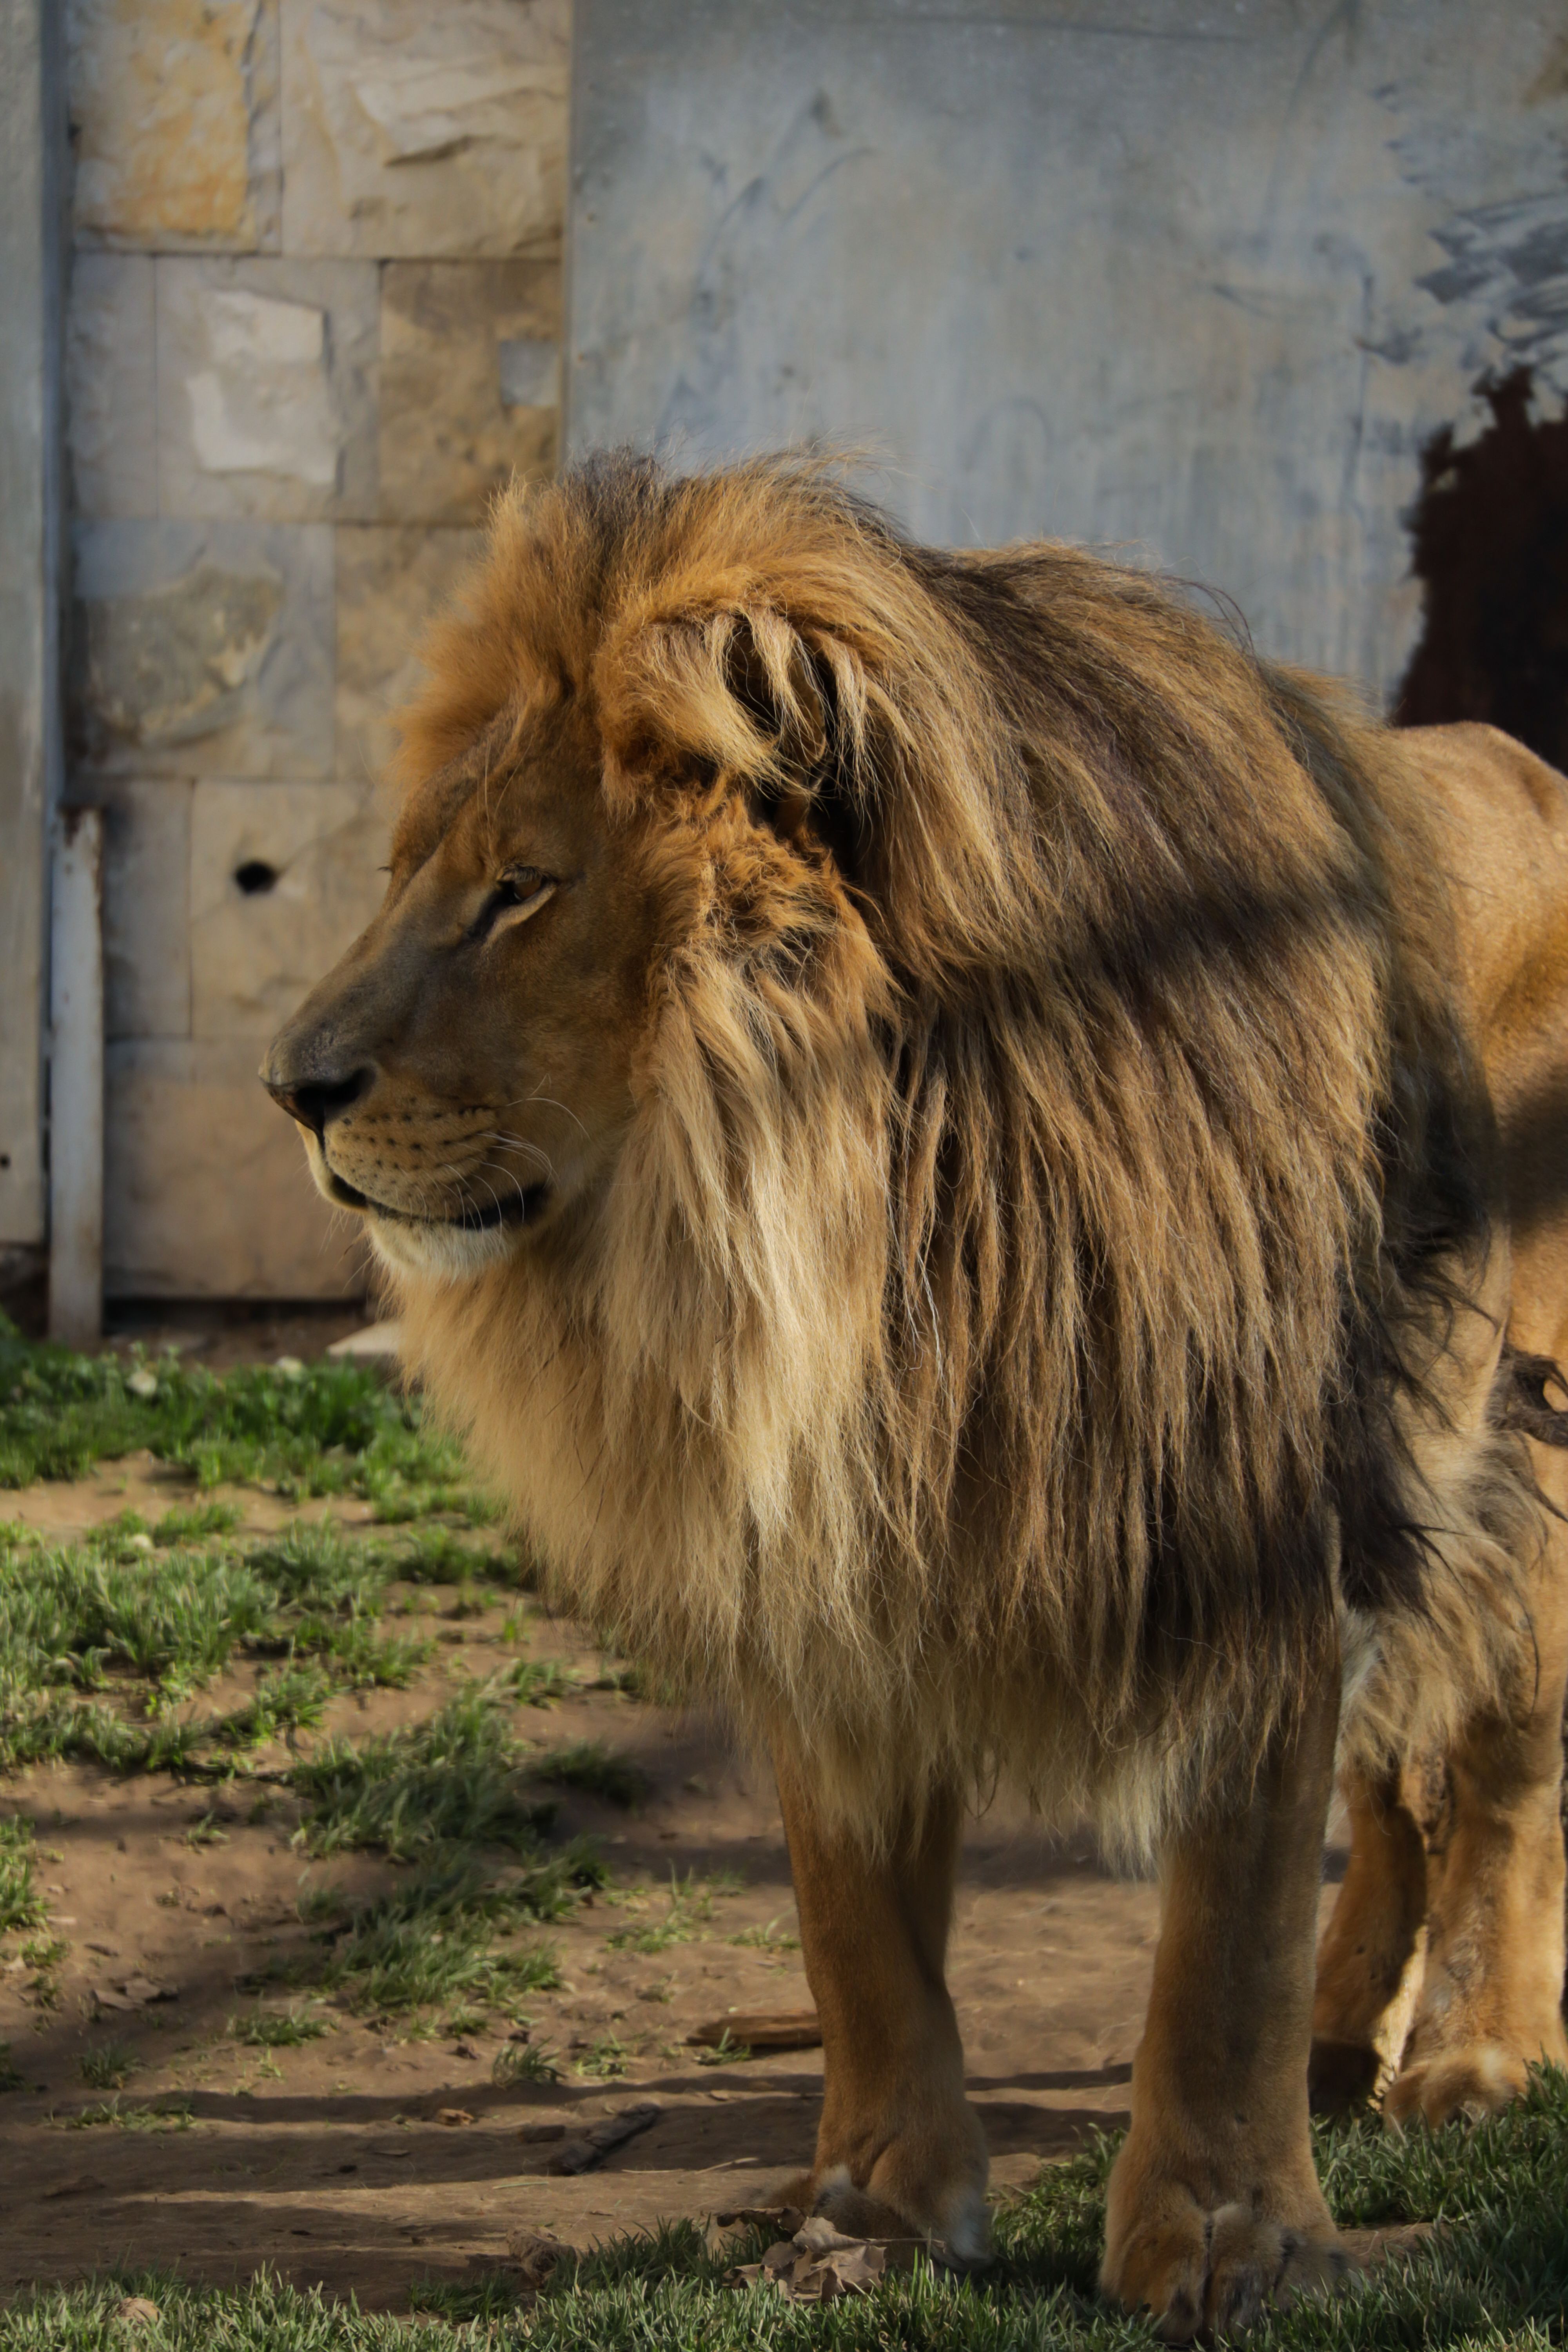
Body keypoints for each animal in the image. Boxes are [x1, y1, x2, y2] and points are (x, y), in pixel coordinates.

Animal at [262, 455, 1568, 2337]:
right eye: (413, 874)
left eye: (520, 886)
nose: (288, 1086)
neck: (882, 1228)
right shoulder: (834, 1533)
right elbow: (854, 1928)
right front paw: (870, 2212)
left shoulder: (1247, 1514)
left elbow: (1225, 1933)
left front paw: (1225, 2240)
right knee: (1398, 1774)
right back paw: (1346, 2037)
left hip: (1513, 1456)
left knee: (1505, 1763)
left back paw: (1473, 2052)